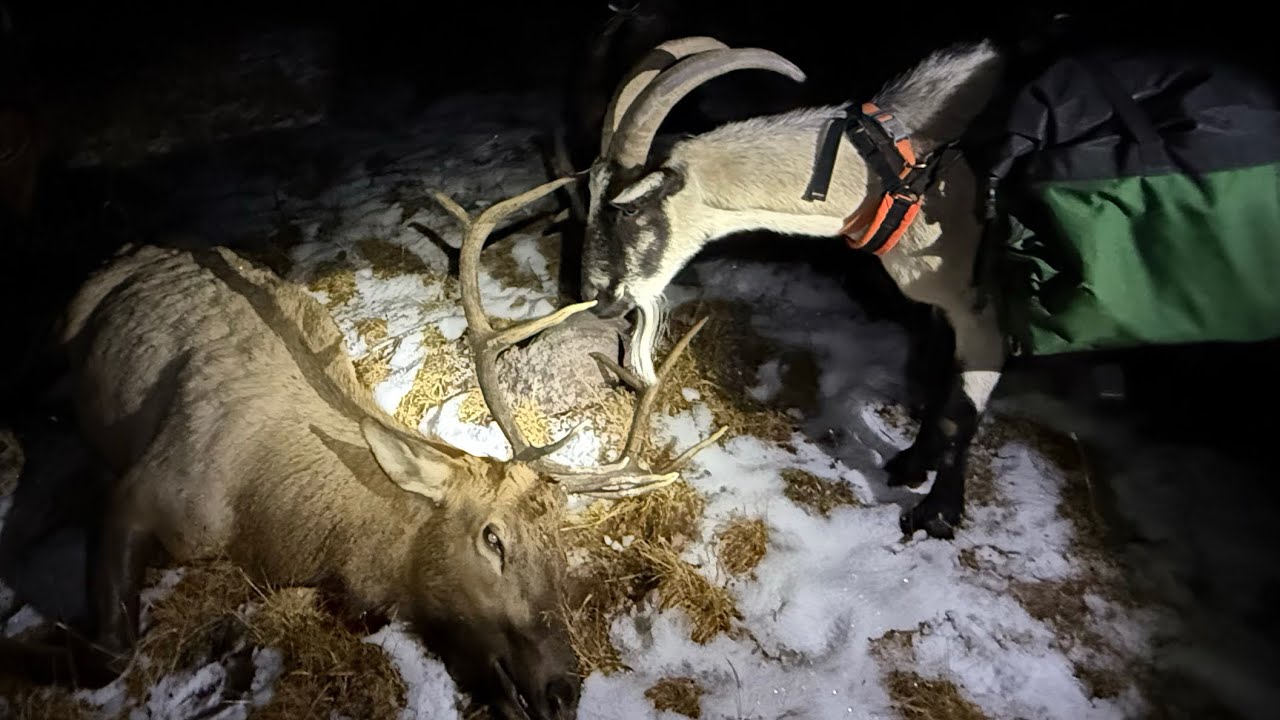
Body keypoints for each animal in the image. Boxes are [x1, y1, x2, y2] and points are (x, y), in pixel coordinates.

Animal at [53, 175, 724, 719]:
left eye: (561, 551)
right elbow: (113, 654)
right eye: (492, 539)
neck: (268, 519)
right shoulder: (146, 485)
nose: (564, 693)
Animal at [577, 36, 1009, 541]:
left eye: (628, 207)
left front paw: (936, 514)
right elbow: (939, 379)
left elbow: (958, 406)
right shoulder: (940, 307)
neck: (907, 164)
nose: (596, 297)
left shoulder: (979, 306)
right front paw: (910, 465)